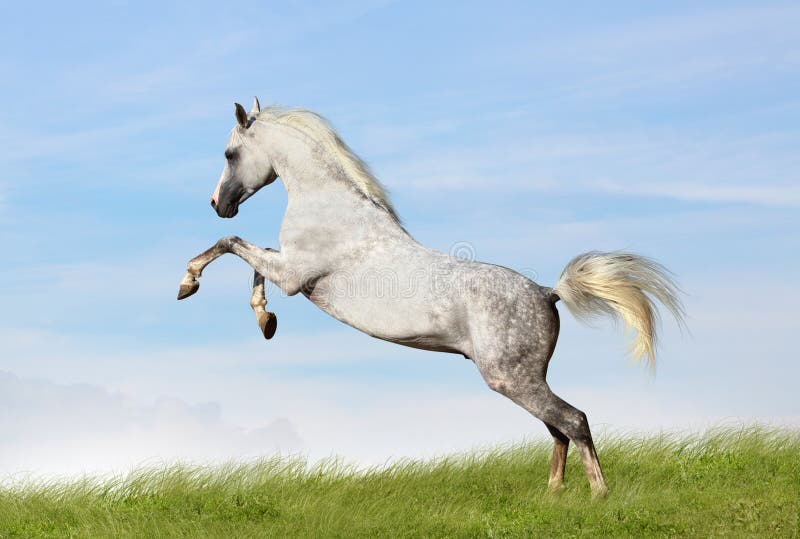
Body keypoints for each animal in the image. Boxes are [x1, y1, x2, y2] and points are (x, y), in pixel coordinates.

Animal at [177, 97, 684, 497]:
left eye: (229, 153)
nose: (218, 204)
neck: (332, 208)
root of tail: (547, 293)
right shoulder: (285, 267)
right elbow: (250, 256)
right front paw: (265, 321)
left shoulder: (293, 276)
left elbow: (233, 245)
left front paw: (190, 283)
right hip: (524, 380)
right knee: (558, 429)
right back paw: (553, 495)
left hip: (511, 379)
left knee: (574, 420)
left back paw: (598, 496)